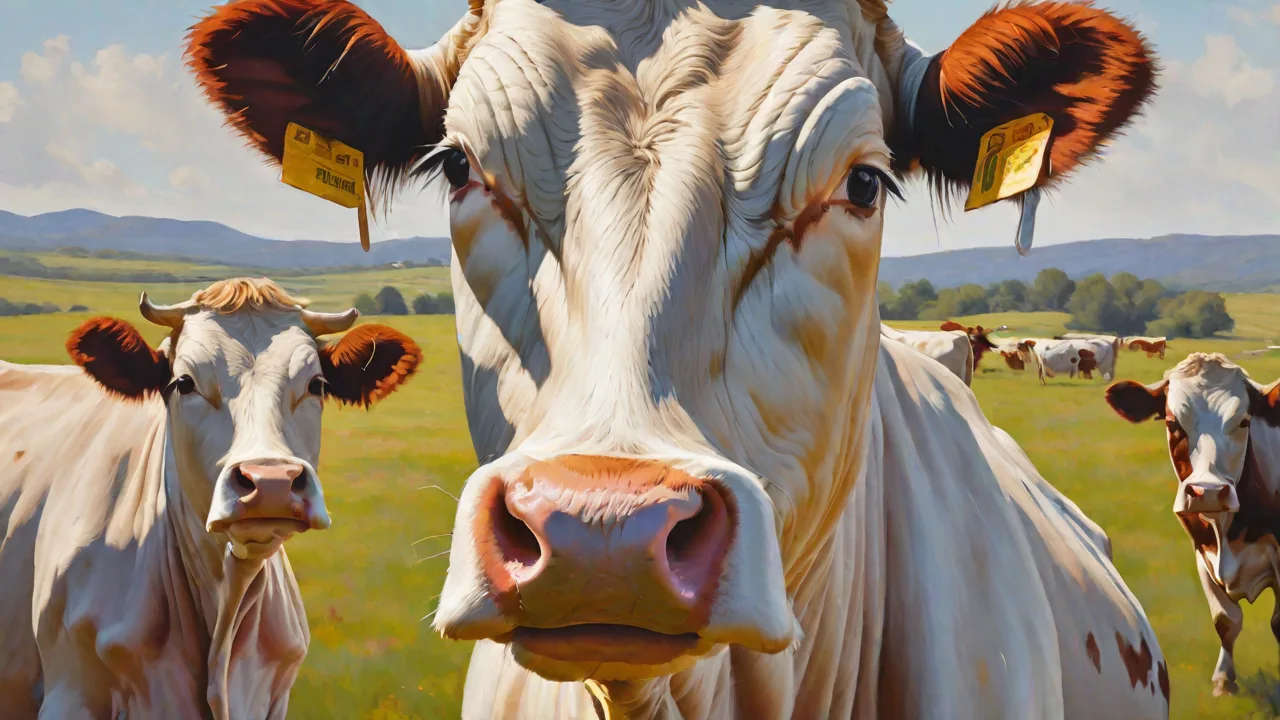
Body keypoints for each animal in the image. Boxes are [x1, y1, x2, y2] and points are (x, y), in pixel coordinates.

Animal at [1105, 353, 1280, 697]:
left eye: (1244, 421)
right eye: (1173, 423)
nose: (1207, 491)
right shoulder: (1202, 550)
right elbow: (1225, 620)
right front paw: (1224, 681)